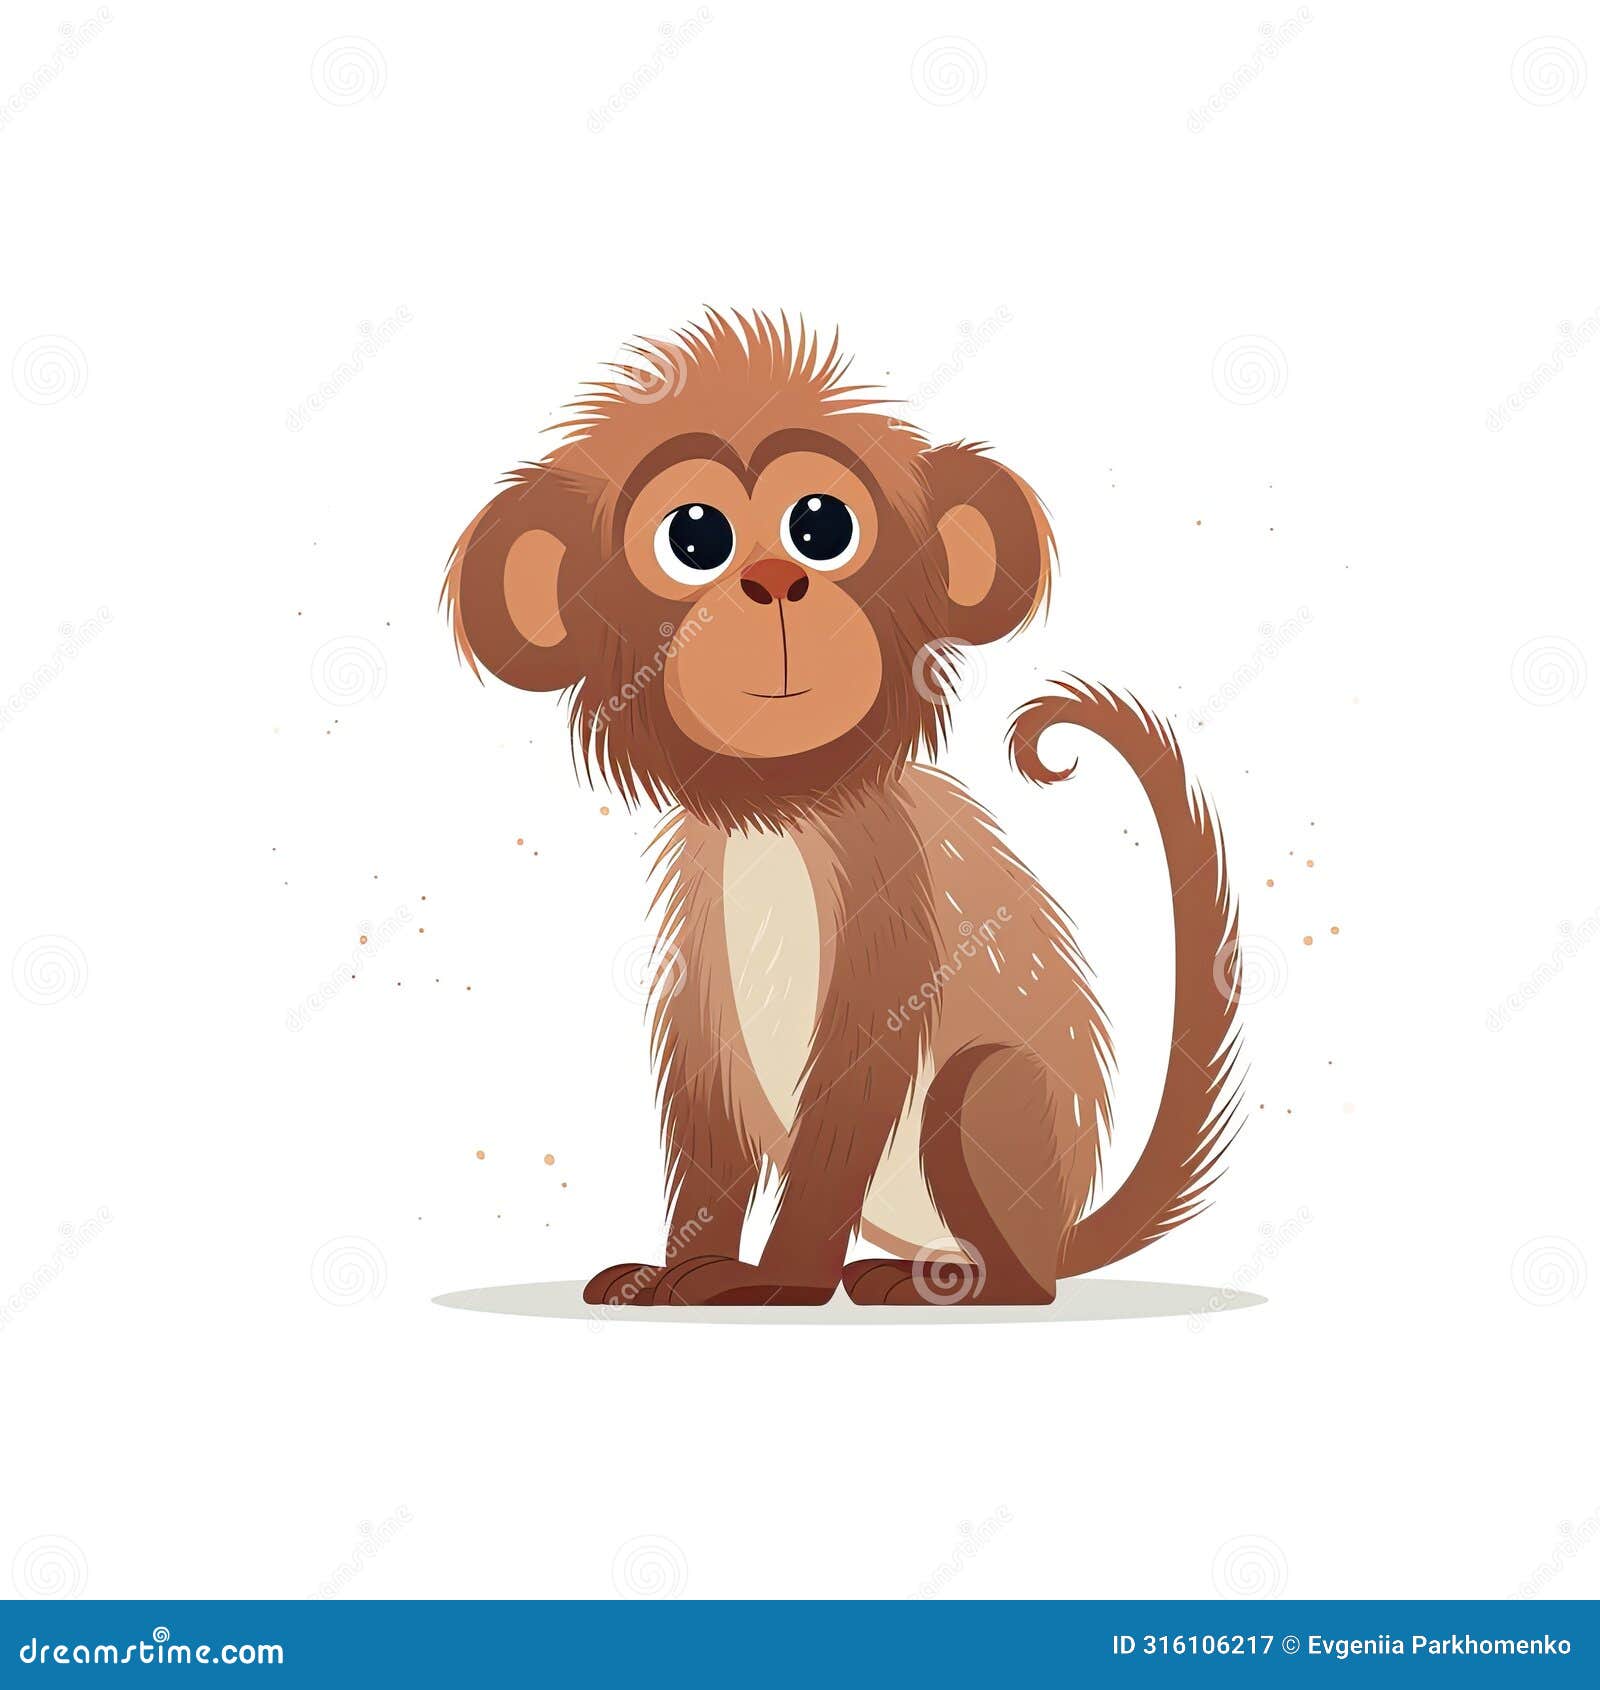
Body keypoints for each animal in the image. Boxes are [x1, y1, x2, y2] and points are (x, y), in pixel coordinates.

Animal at [444, 311, 1241, 1307]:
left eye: (822, 525)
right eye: (694, 537)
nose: (777, 582)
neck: (788, 808)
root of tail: (1059, 1232)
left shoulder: (886, 880)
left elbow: (862, 1075)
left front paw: (775, 1283)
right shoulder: (703, 908)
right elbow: (707, 1093)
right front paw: (678, 1269)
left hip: (1005, 1150)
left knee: (981, 1112)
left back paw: (963, 1284)